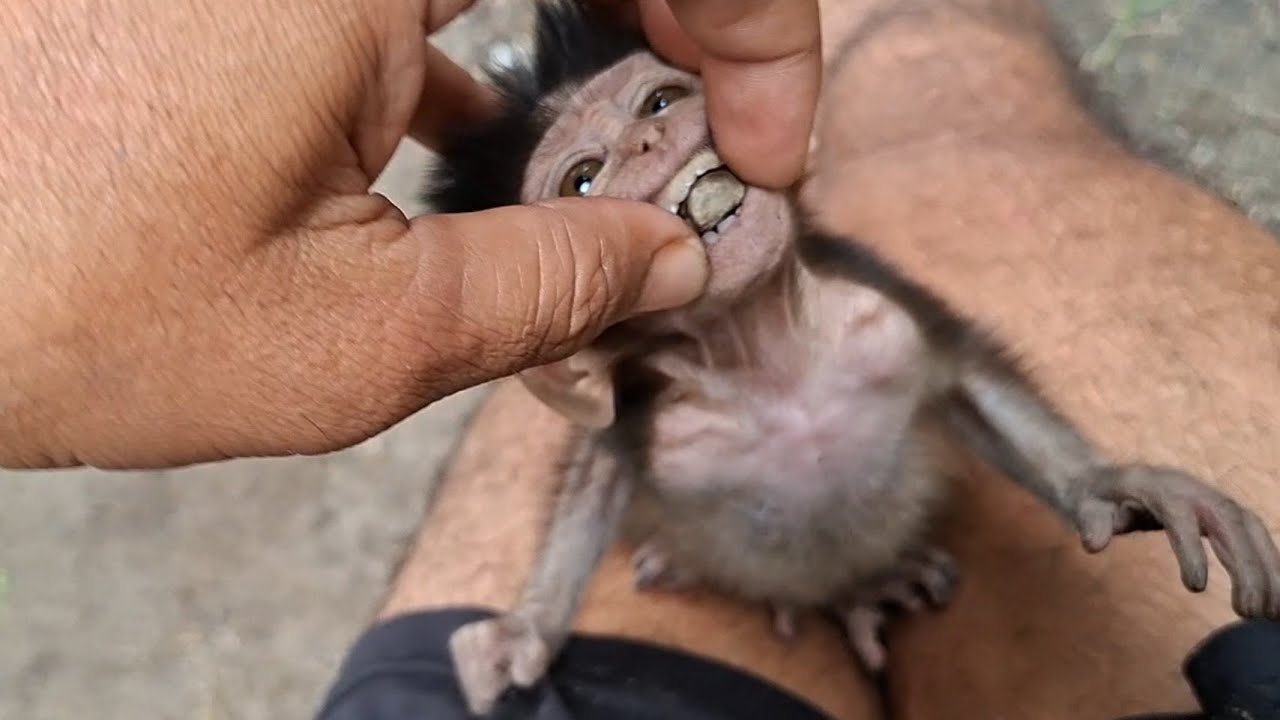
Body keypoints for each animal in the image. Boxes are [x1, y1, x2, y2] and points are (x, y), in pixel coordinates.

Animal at [420, 2, 1280, 715]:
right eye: (583, 179)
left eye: (657, 103)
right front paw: (528, 629)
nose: (647, 141)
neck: (762, 350)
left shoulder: (883, 312)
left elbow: (970, 380)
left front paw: (1111, 485)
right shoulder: (648, 409)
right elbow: (598, 476)